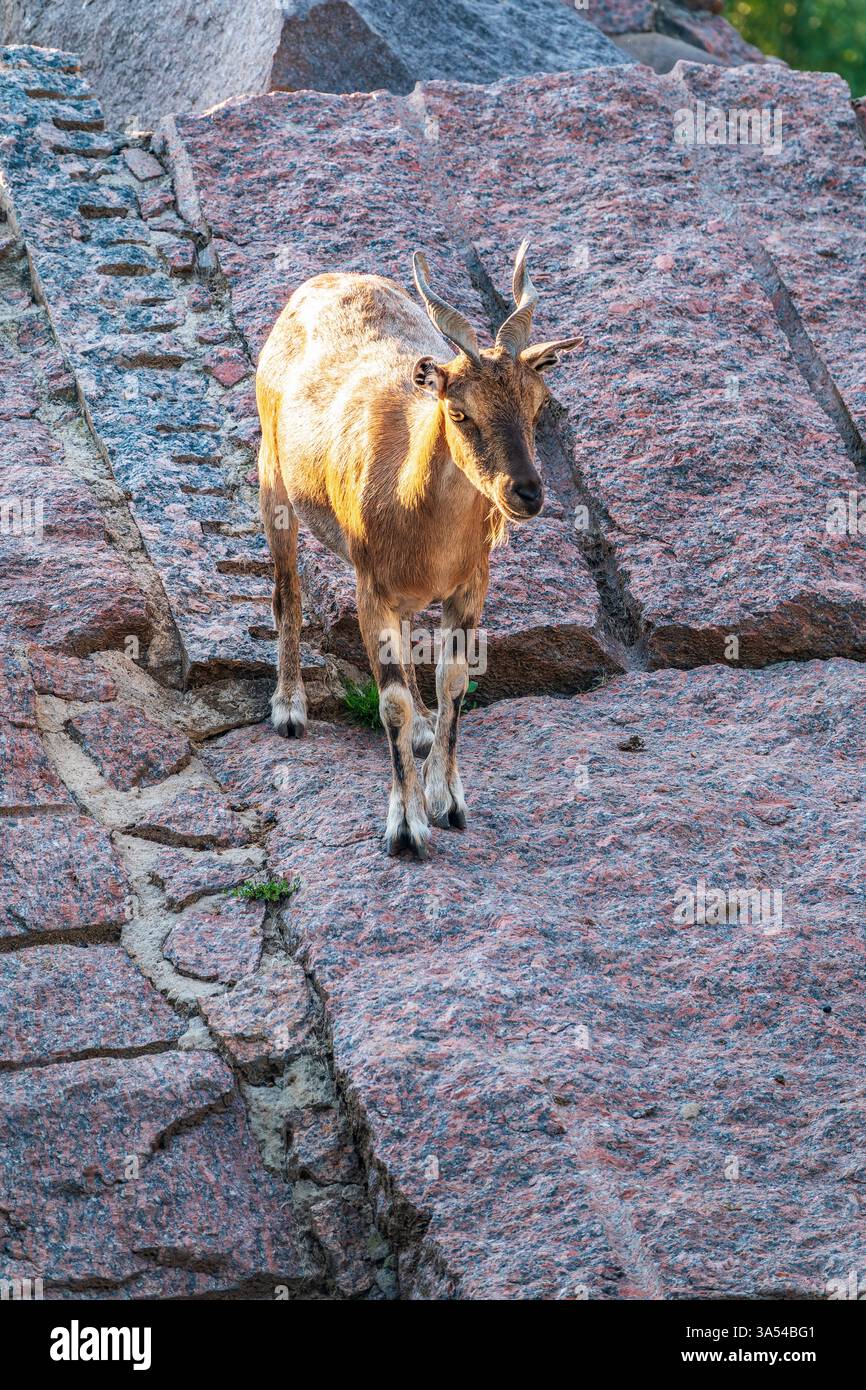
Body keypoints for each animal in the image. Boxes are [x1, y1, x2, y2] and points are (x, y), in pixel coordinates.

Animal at [256, 242, 580, 856]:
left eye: (538, 404)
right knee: (287, 591)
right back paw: (289, 708)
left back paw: (426, 728)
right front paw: (405, 828)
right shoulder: (371, 589)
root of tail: (326, 280)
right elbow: (390, 704)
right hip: (272, 476)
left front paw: (447, 801)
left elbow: (452, 680)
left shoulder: (469, 587)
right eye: (459, 411)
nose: (526, 493)